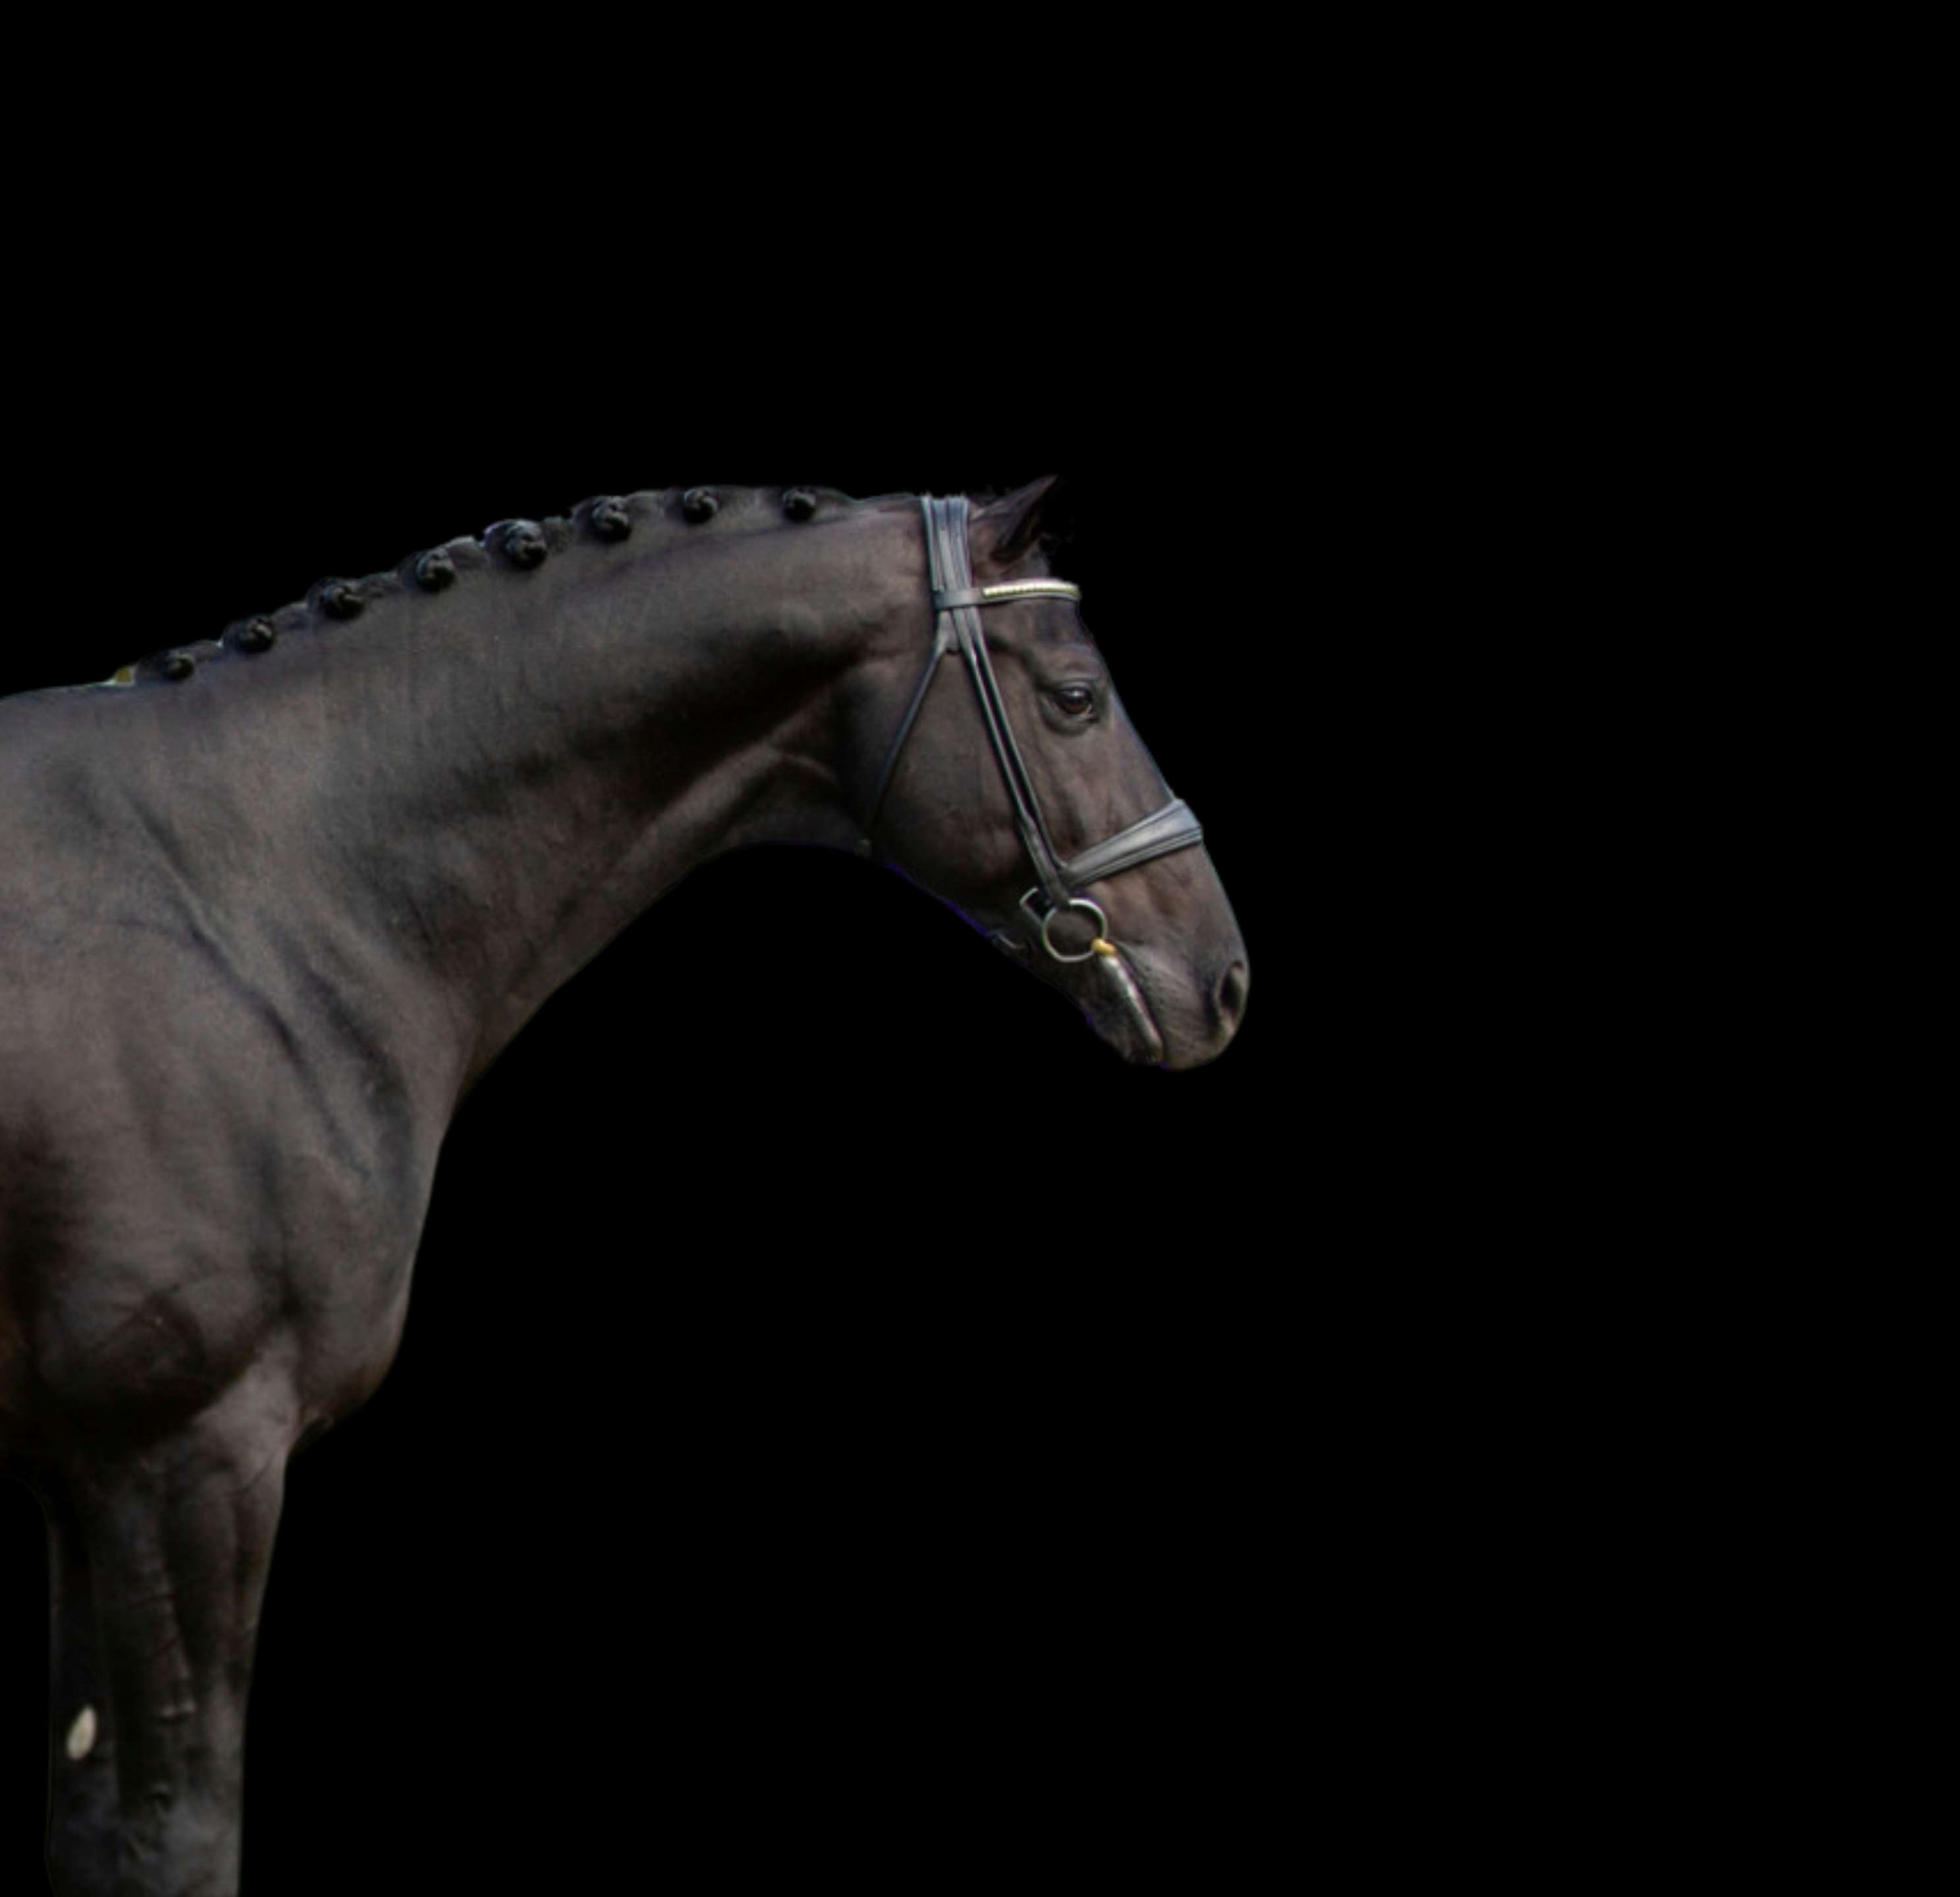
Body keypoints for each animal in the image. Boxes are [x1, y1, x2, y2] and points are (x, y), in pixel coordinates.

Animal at [0, 475, 1247, 1894]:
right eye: (1077, 697)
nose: (1223, 977)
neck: (248, 894)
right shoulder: (185, 1454)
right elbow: (173, 1842)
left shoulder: (98, 1477)